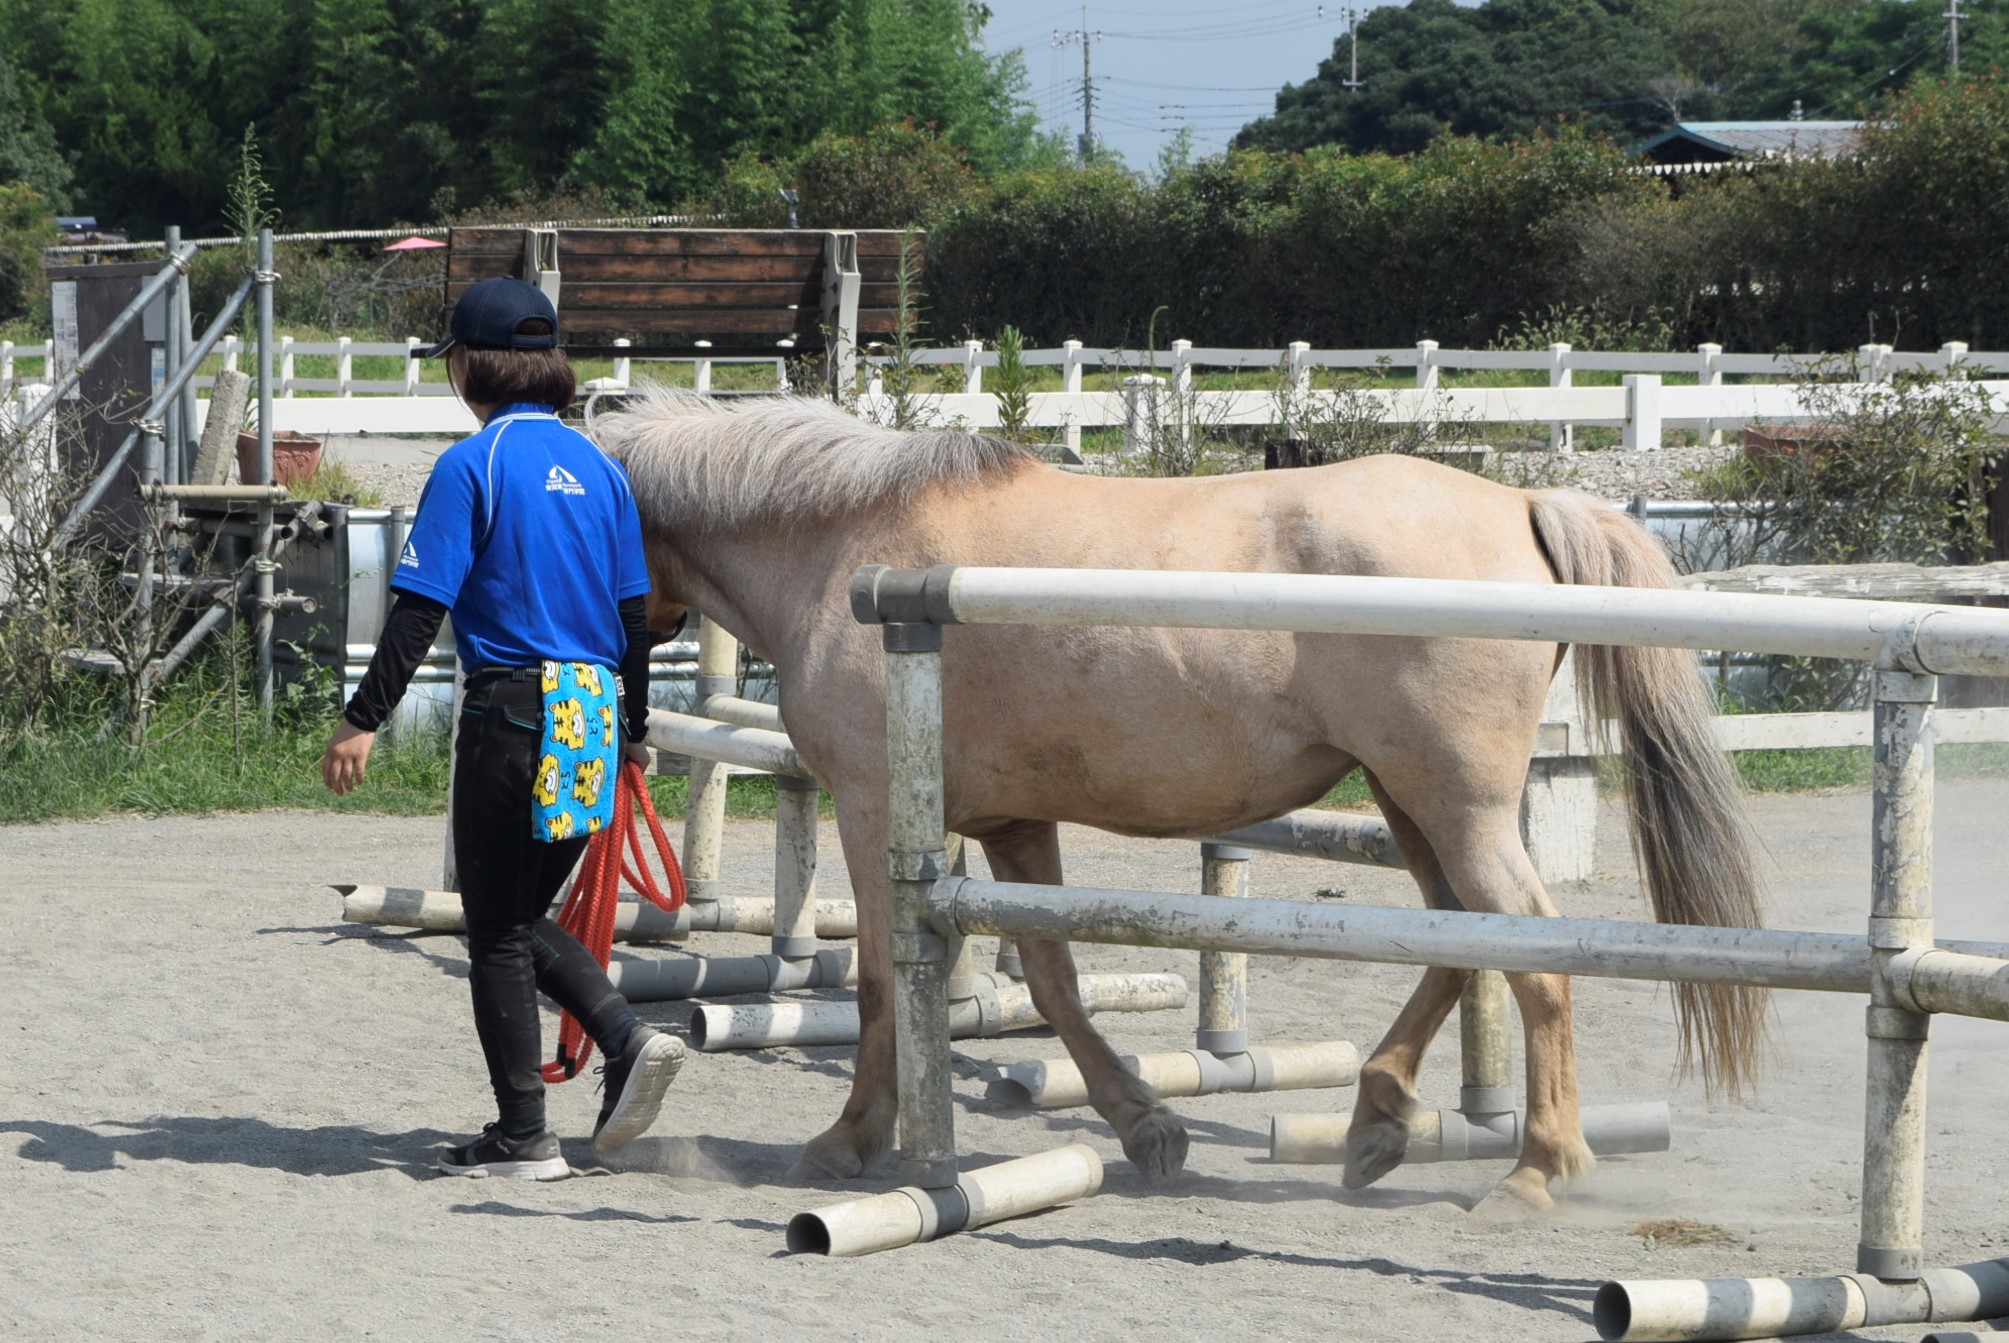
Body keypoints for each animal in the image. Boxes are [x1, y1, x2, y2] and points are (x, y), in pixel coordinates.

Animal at [591, 386, 1765, 1211]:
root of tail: (1523, 501)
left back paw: (1533, 1167)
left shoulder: (877, 812)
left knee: (1534, 956)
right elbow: (1055, 981)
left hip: (1455, 804)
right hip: (1410, 799)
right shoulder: (1013, 824)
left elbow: (884, 984)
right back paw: (1378, 1117)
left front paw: (847, 1142)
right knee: (1455, 940)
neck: (846, 544)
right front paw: (1144, 1125)